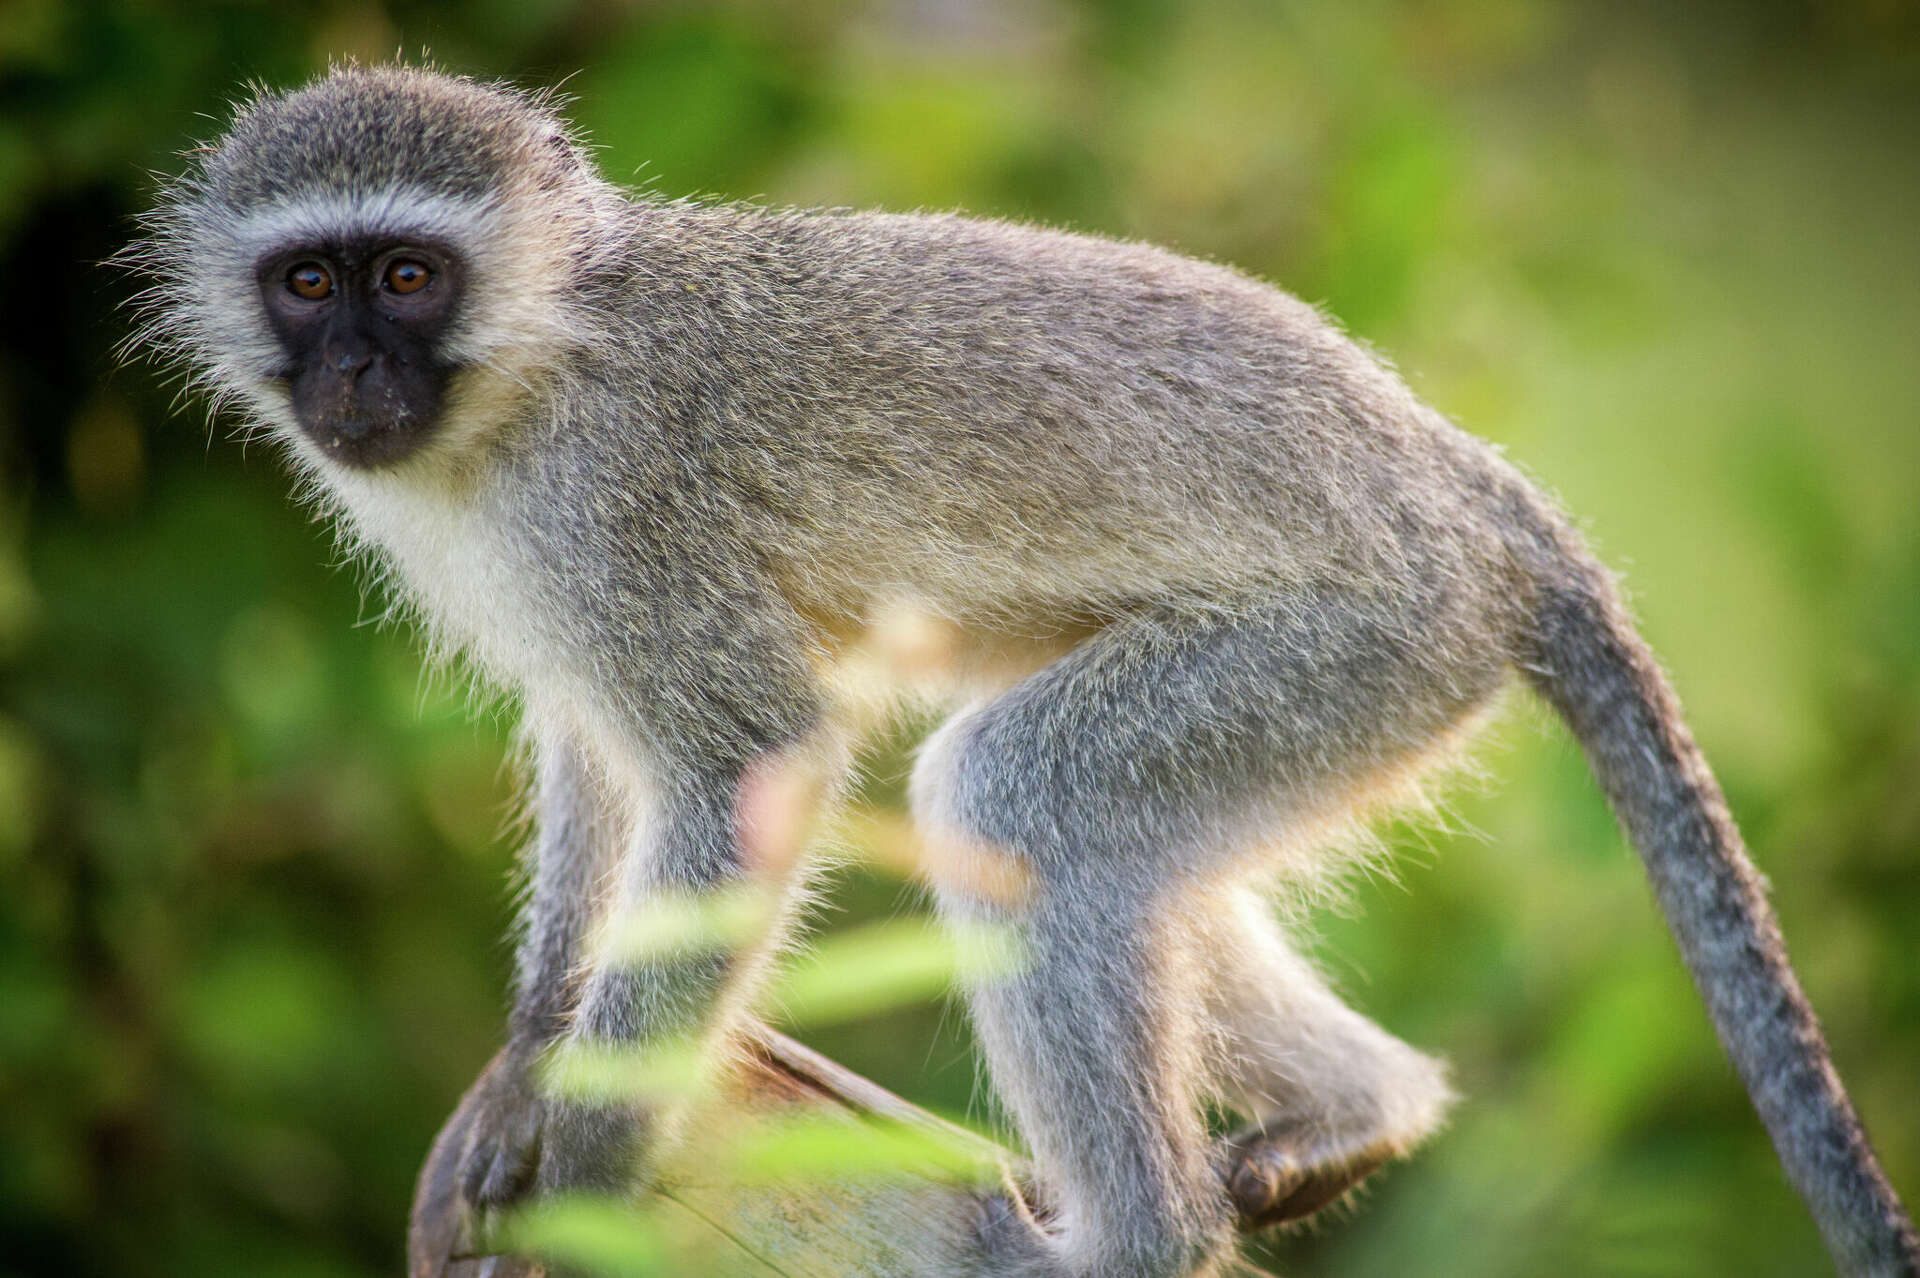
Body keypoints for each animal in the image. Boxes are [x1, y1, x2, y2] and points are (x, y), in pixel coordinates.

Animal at [121, 65, 1916, 1278]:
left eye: (408, 274)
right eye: (310, 279)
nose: (354, 377)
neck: (528, 379)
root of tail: (1470, 489)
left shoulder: (622, 508)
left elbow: (749, 761)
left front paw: (592, 1141)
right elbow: (595, 763)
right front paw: (527, 1063)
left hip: (1362, 636)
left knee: (1013, 793)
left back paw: (1137, 1237)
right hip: (1369, 678)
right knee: (1102, 844)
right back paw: (1362, 1107)